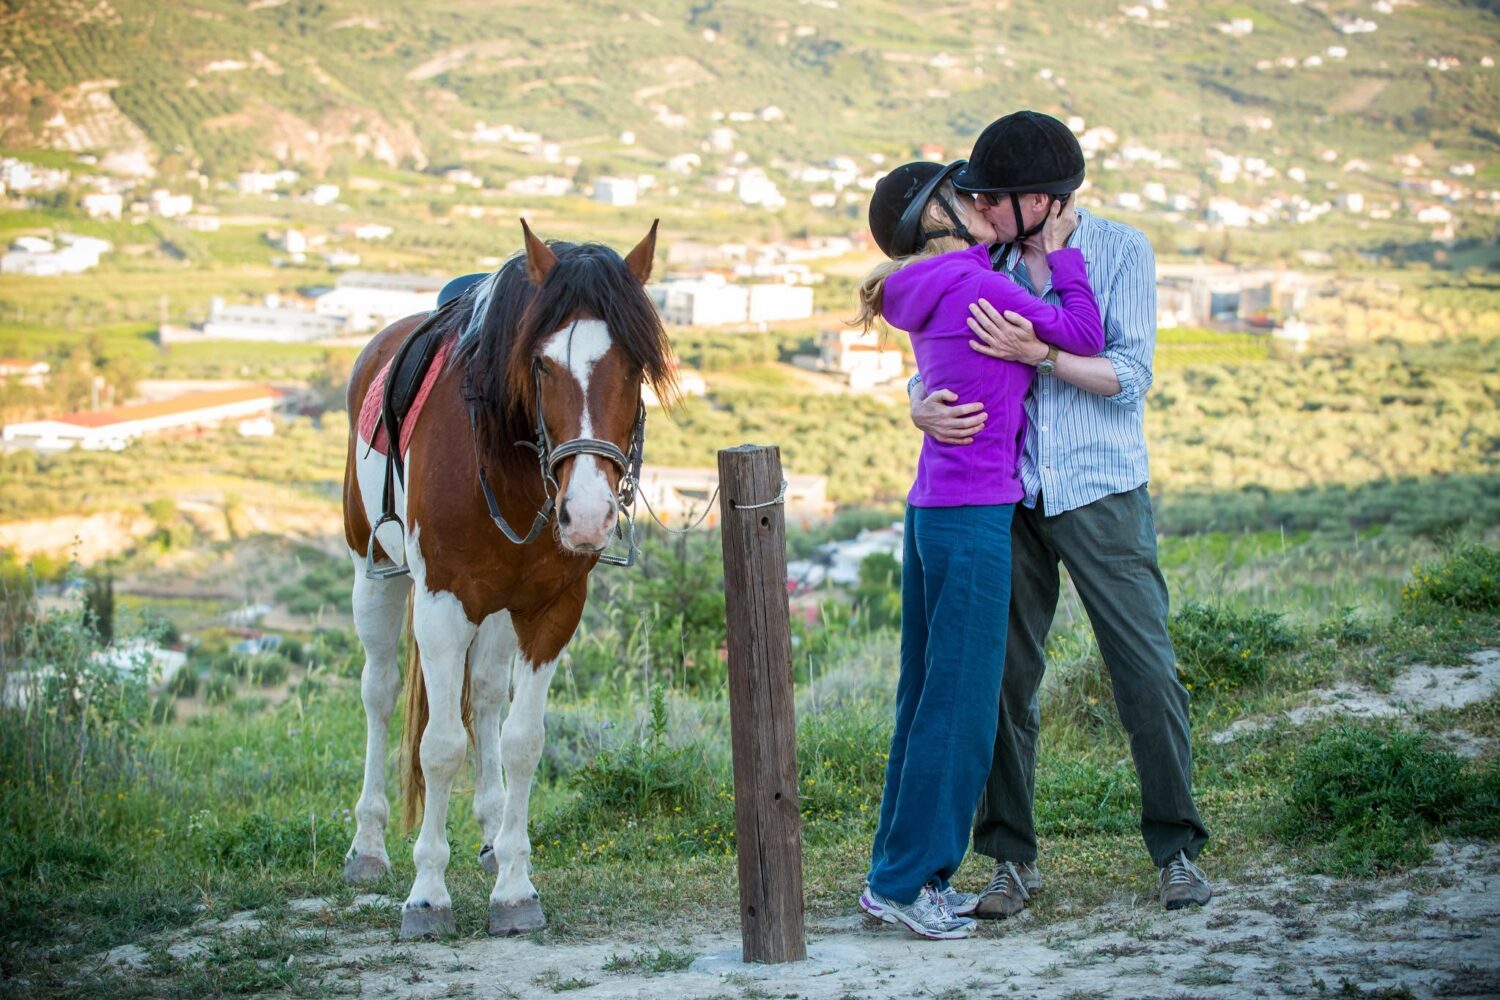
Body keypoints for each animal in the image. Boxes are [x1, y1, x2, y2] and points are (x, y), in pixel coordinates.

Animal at [339, 220, 676, 938]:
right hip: (373, 573)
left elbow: (521, 741)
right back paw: (369, 847)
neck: (512, 469)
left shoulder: (552, 609)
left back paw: (493, 838)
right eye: (540, 364)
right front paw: (427, 894)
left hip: (494, 609)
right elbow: (440, 746)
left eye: (634, 366)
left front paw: (517, 888)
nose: (587, 515)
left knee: (489, 697)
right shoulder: (441, 604)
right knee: (380, 693)